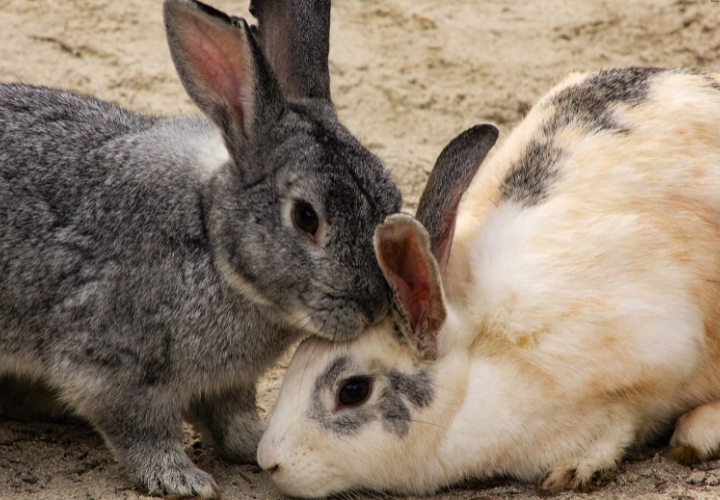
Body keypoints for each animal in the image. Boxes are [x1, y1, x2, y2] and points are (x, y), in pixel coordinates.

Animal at [0, 0, 402, 497]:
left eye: (392, 199)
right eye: (306, 217)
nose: (374, 305)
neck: (210, 238)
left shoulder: (226, 384)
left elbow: (230, 419)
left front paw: (254, 444)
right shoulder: (109, 365)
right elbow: (142, 429)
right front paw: (182, 479)